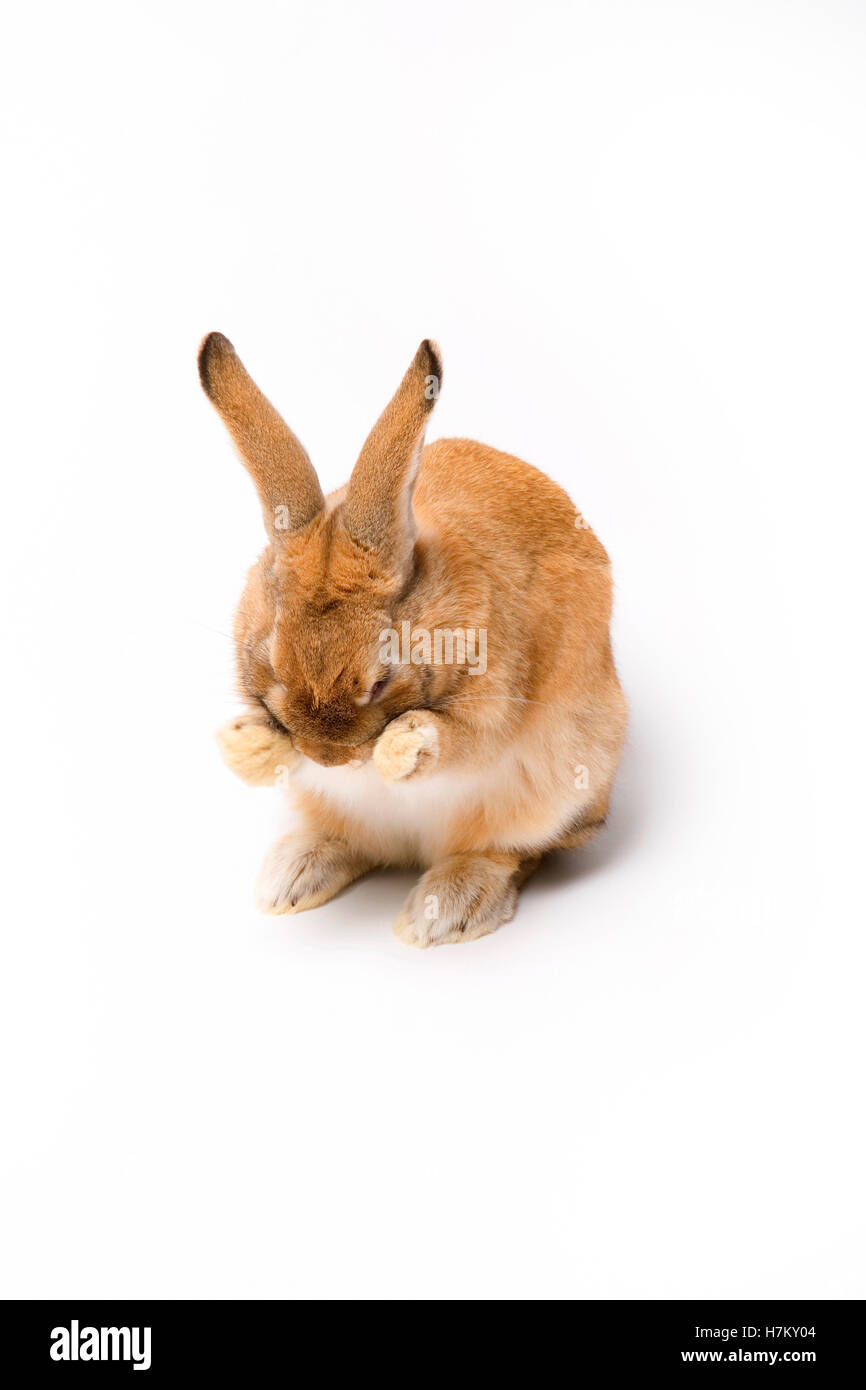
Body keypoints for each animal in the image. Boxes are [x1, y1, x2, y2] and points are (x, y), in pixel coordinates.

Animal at [200, 333, 627, 946]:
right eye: (275, 669)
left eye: (380, 684)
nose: (328, 760)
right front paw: (245, 743)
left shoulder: (492, 710)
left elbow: (456, 741)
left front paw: (402, 747)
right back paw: (291, 879)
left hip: (564, 784)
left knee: (514, 854)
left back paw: (442, 911)